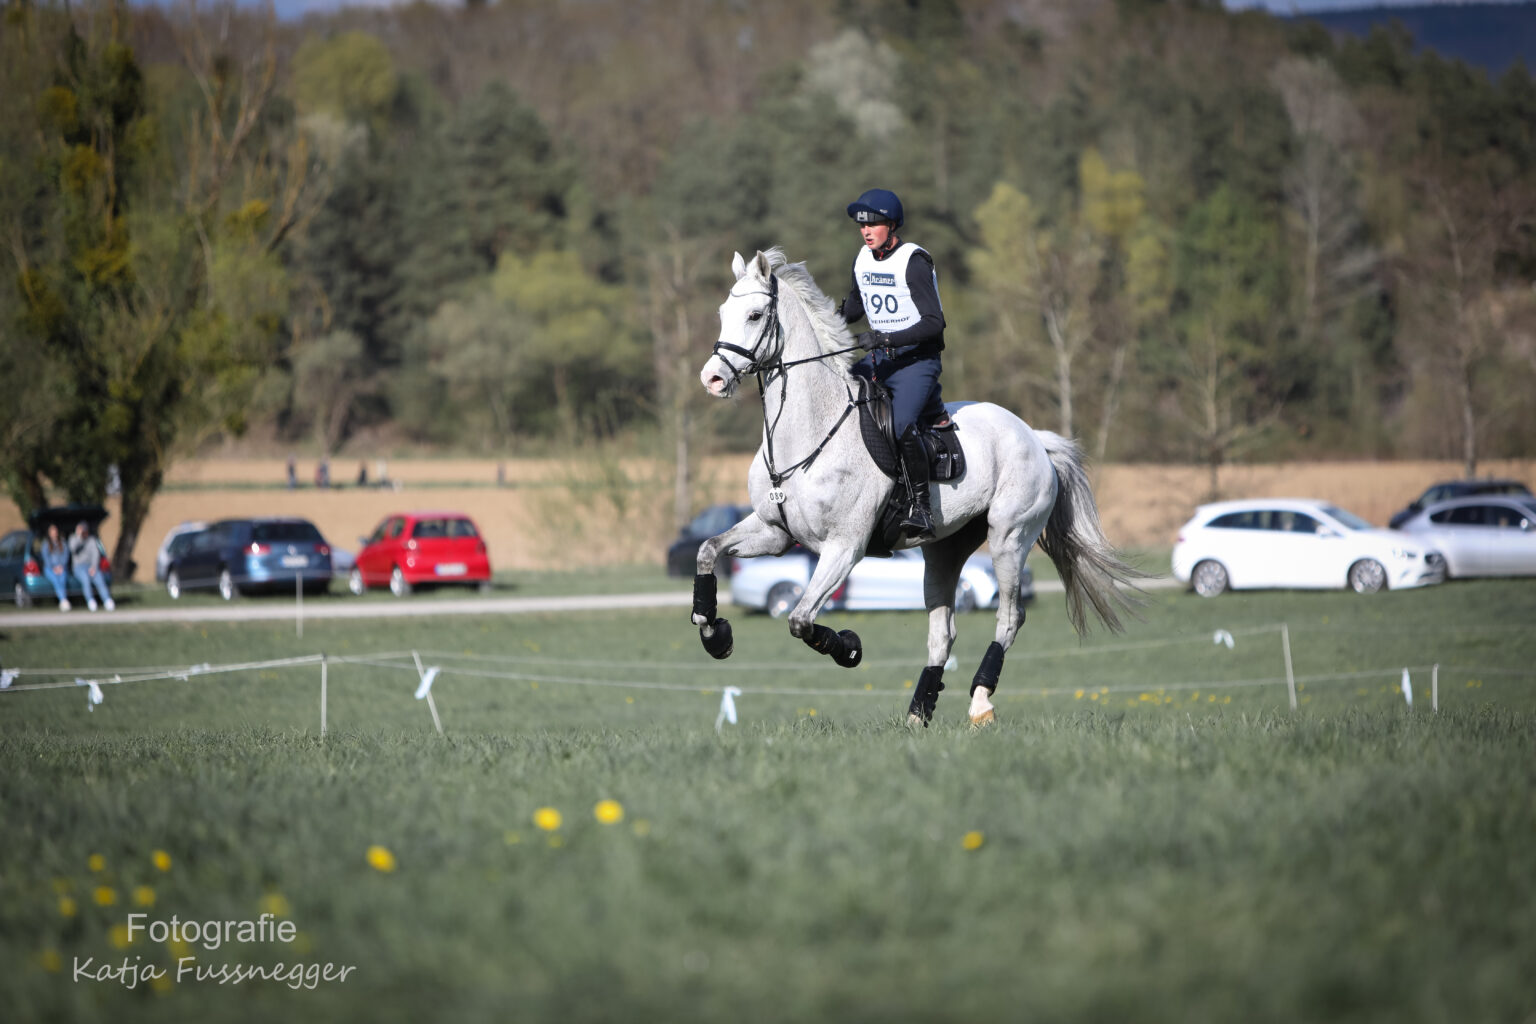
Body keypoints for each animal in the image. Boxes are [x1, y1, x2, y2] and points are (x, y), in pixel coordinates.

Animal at [689, 249, 1141, 726]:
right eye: (723, 313)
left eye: (755, 315)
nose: (712, 379)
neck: (809, 431)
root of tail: (1034, 436)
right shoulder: (775, 533)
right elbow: (708, 551)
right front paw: (714, 633)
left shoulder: (844, 546)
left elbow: (800, 620)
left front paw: (849, 648)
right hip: (943, 551)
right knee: (943, 633)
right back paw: (918, 714)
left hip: (1009, 537)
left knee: (1009, 617)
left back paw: (980, 702)